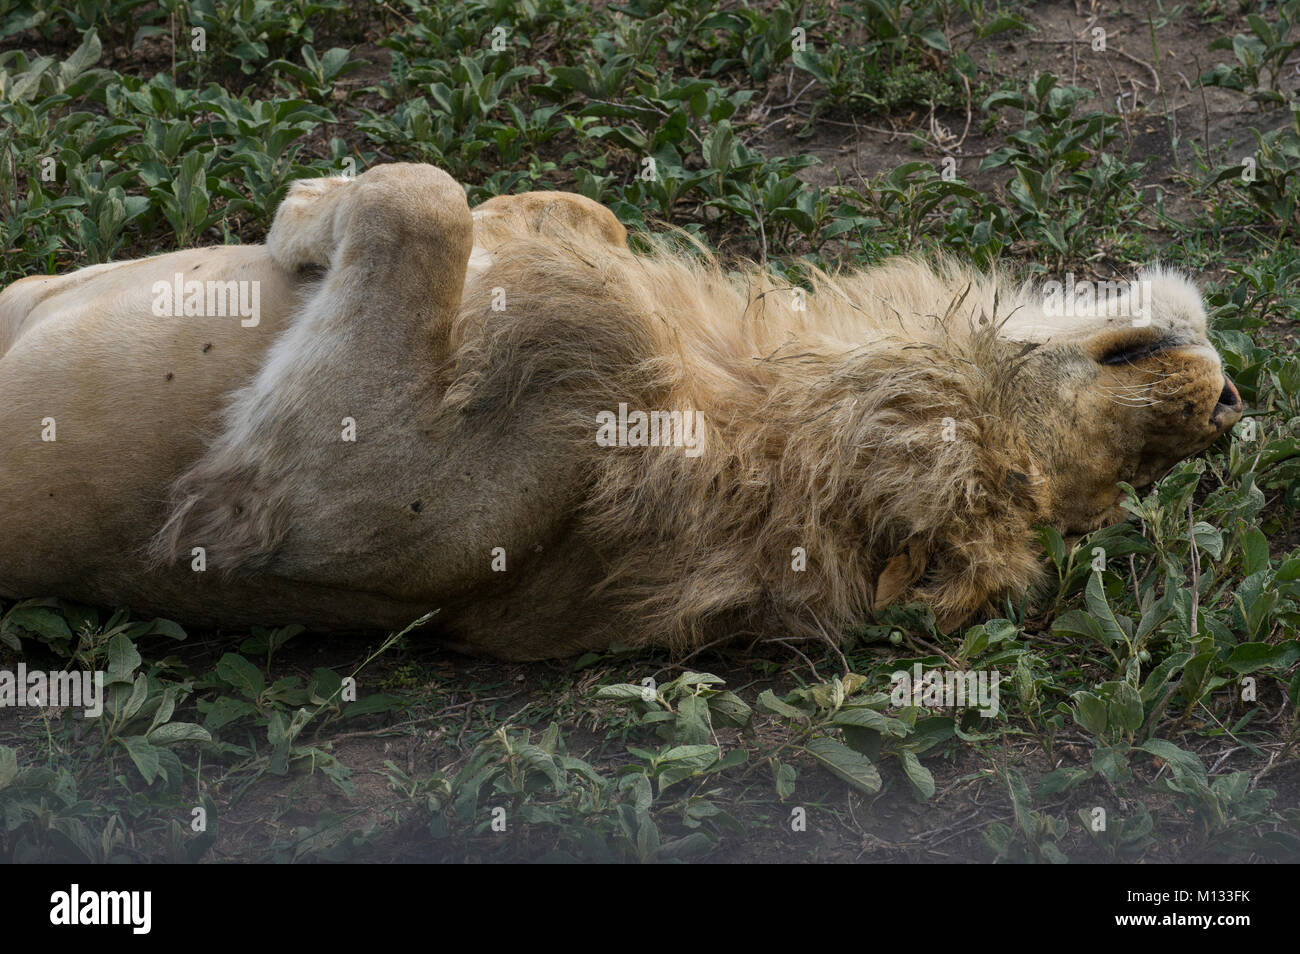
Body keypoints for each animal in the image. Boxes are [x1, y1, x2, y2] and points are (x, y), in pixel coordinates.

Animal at [0, 163, 1243, 659]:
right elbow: (551, 208)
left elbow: (425, 201)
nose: (1228, 409)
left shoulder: (308, 500)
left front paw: (312, 209)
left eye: (1076, 495)